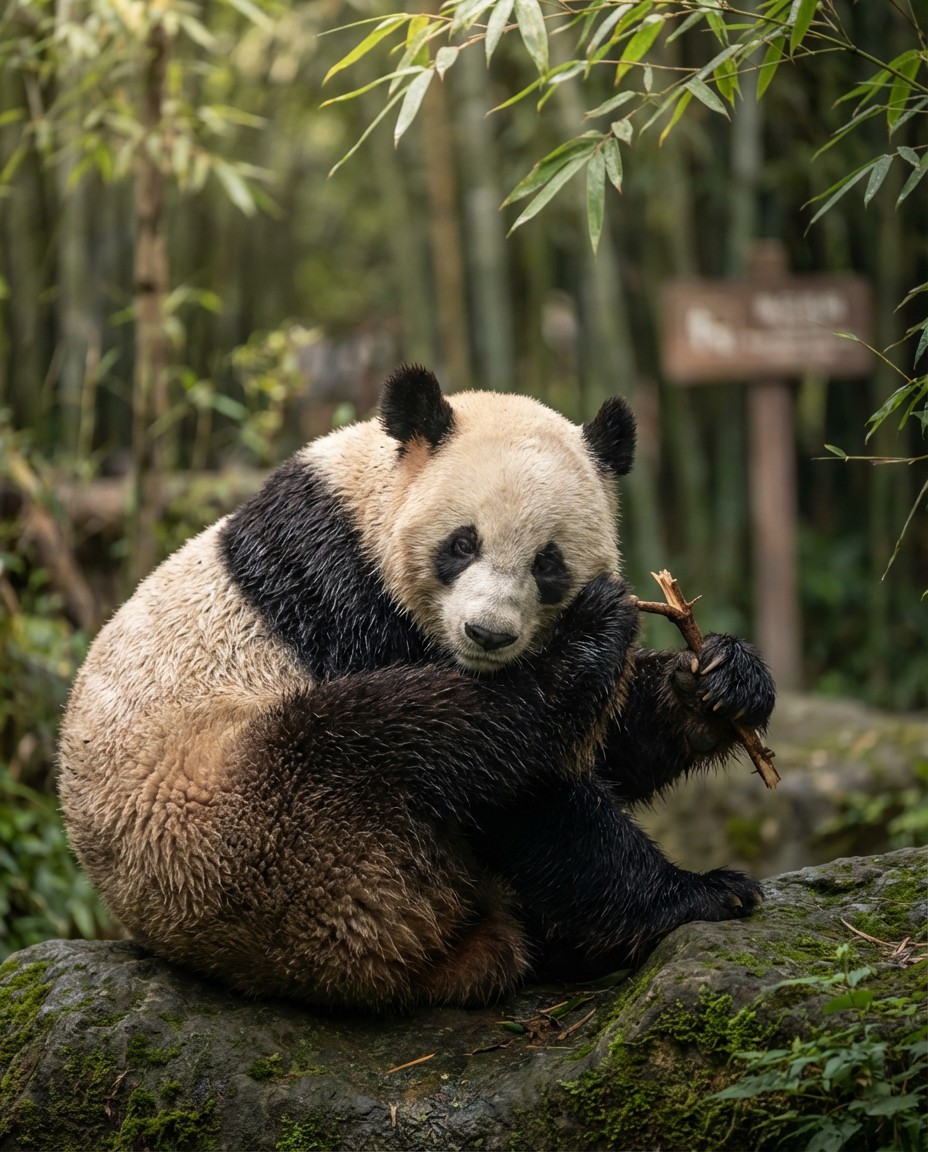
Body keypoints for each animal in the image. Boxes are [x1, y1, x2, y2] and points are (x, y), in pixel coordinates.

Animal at [59, 365, 774, 1014]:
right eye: (462, 544)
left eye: (548, 562)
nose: (487, 633)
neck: (370, 498)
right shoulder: (344, 593)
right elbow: (522, 795)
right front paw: (703, 892)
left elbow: (607, 744)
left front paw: (718, 683)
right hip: (259, 838)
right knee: (409, 741)